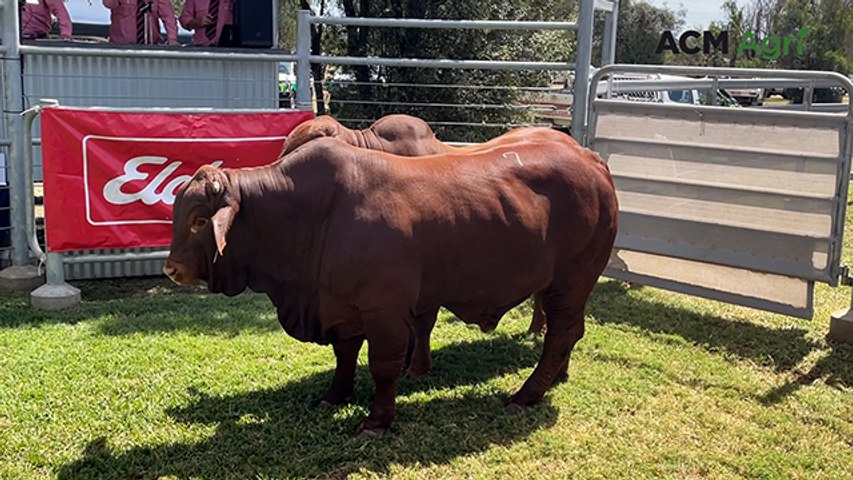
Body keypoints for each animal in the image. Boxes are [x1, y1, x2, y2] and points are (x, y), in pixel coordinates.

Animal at [164, 131, 618, 435]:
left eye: (200, 220)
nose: (171, 269)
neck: (310, 213)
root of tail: (589, 158)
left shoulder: (383, 311)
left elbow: (383, 366)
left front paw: (378, 419)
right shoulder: (340, 307)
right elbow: (345, 356)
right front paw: (335, 395)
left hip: (571, 280)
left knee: (560, 333)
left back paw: (527, 394)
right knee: (570, 331)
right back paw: (556, 377)